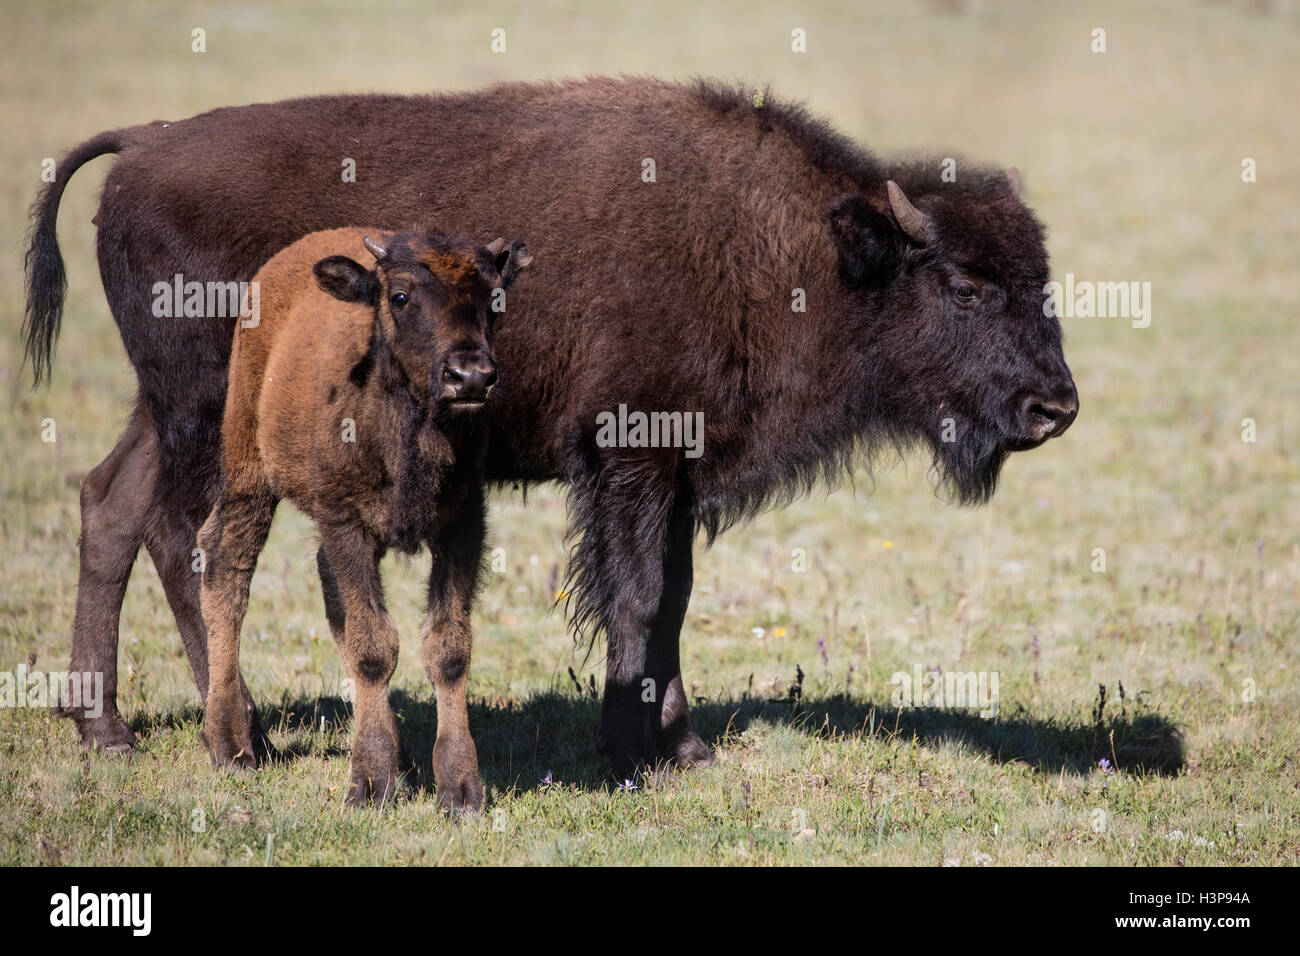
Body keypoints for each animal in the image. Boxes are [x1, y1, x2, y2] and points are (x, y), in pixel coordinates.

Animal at [23, 77, 1078, 783]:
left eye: (1041, 279)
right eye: (965, 286)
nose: (1055, 407)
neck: (803, 250)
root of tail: (144, 143)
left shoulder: (674, 475)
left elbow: (673, 601)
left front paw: (684, 745)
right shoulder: (632, 458)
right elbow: (640, 600)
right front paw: (632, 750)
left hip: (173, 412)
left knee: (114, 506)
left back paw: (116, 729)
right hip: (204, 414)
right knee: (185, 537)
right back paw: (232, 736)